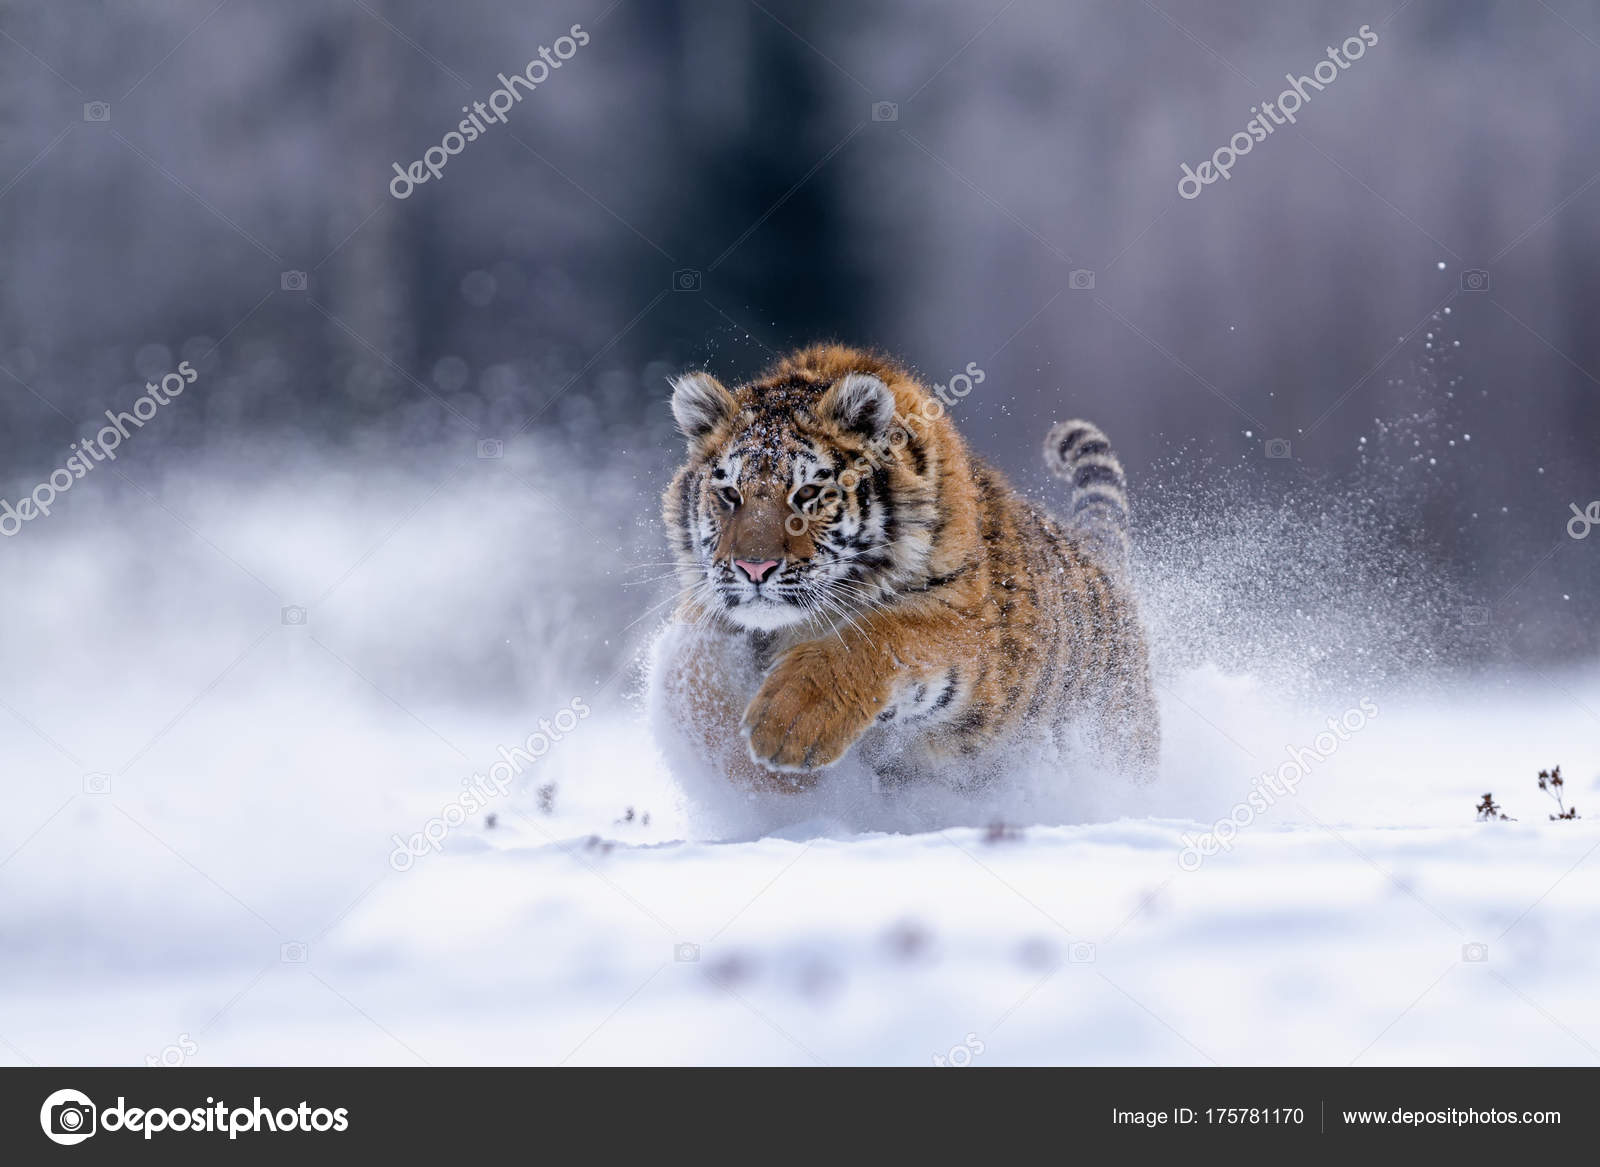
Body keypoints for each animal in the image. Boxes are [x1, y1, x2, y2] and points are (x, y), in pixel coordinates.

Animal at [652, 343, 1158, 794]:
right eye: (729, 495)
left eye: (808, 494)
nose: (753, 568)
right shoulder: (704, 618)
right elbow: (687, 678)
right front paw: (749, 776)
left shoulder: (970, 628)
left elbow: (881, 637)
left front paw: (786, 729)